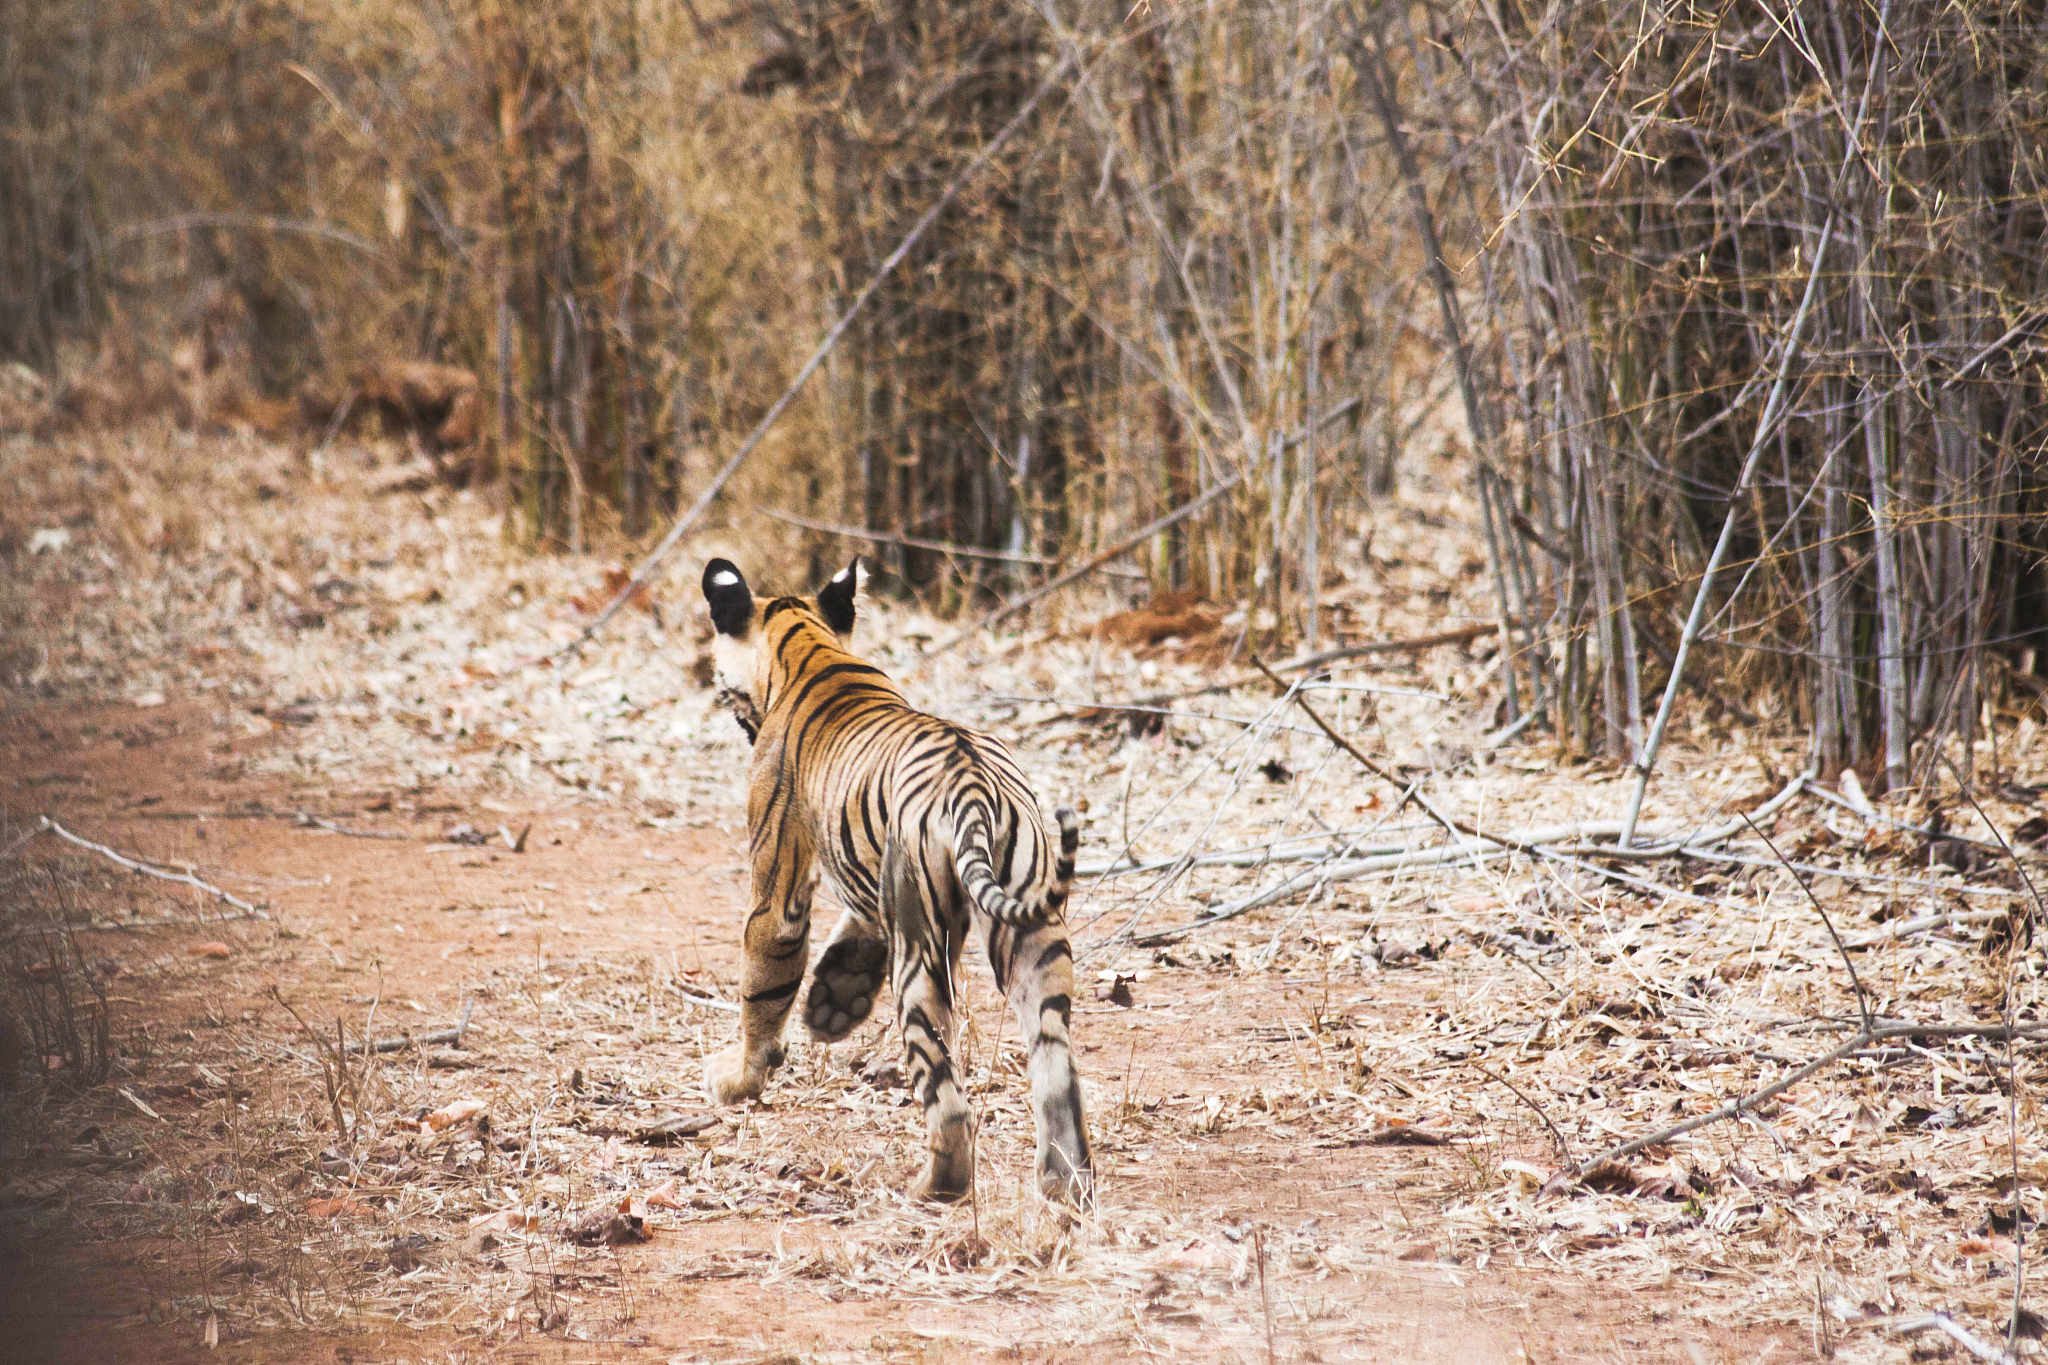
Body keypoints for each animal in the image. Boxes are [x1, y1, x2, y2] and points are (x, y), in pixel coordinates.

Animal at [698, 556, 1093, 1205]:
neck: (807, 644)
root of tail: (975, 786)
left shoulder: (779, 883)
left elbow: (763, 983)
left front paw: (736, 1080)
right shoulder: (869, 872)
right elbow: (853, 932)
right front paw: (834, 1002)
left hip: (922, 945)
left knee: (947, 1096)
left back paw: (934, 1185)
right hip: (1035, 936)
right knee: (1055, 1068)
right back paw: (1064, 1185)